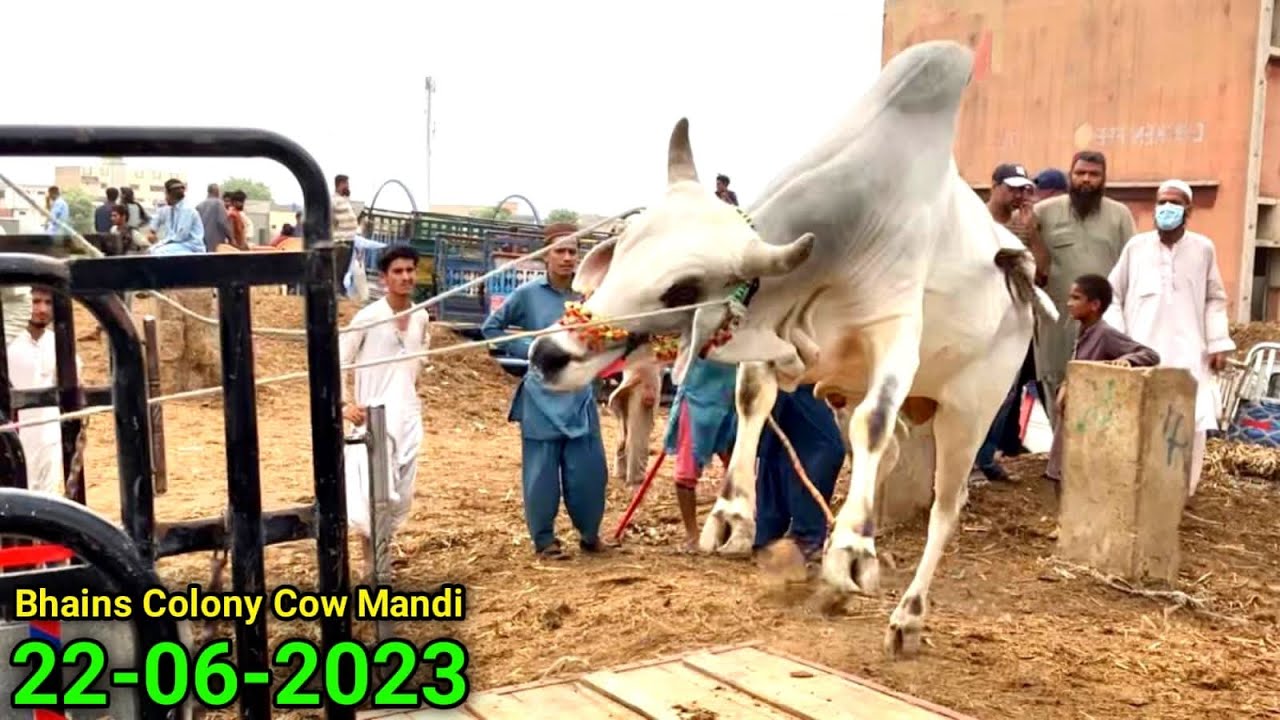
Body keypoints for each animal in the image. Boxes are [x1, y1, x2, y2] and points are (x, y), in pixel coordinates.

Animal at [524, 40, 1058, 657]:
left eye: (682, 289)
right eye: (626, 244)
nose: (549, 354)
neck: (844, 235)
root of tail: (1023, 277)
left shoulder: (895, 331)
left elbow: (875, 421)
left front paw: (852, 551)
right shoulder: (778, 345)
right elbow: (754, 401)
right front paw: (734, 516)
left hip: (971, 412)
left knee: (945, 507)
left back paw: (906, 614)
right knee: (889, 452)